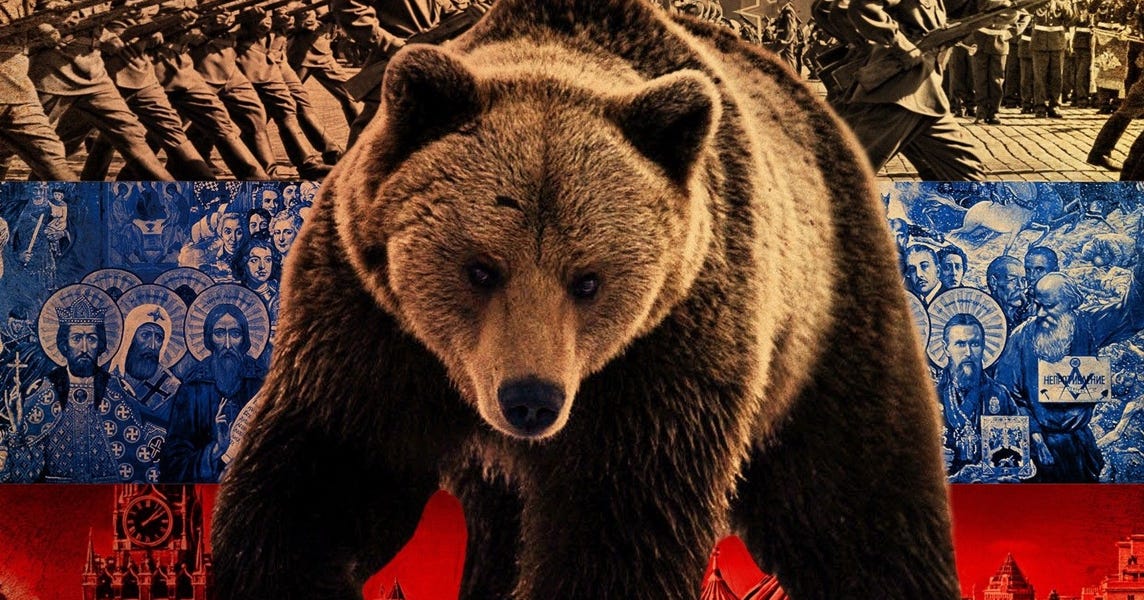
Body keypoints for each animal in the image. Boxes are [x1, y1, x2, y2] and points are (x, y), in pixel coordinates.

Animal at [210, 0, 960, 598]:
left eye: (589, 279)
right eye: (481, 268)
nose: (530, 399)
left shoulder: (666, 353)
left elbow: (618, 525)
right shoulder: (369, 329)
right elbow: (324, 485)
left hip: (825, 325)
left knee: (855, 504)